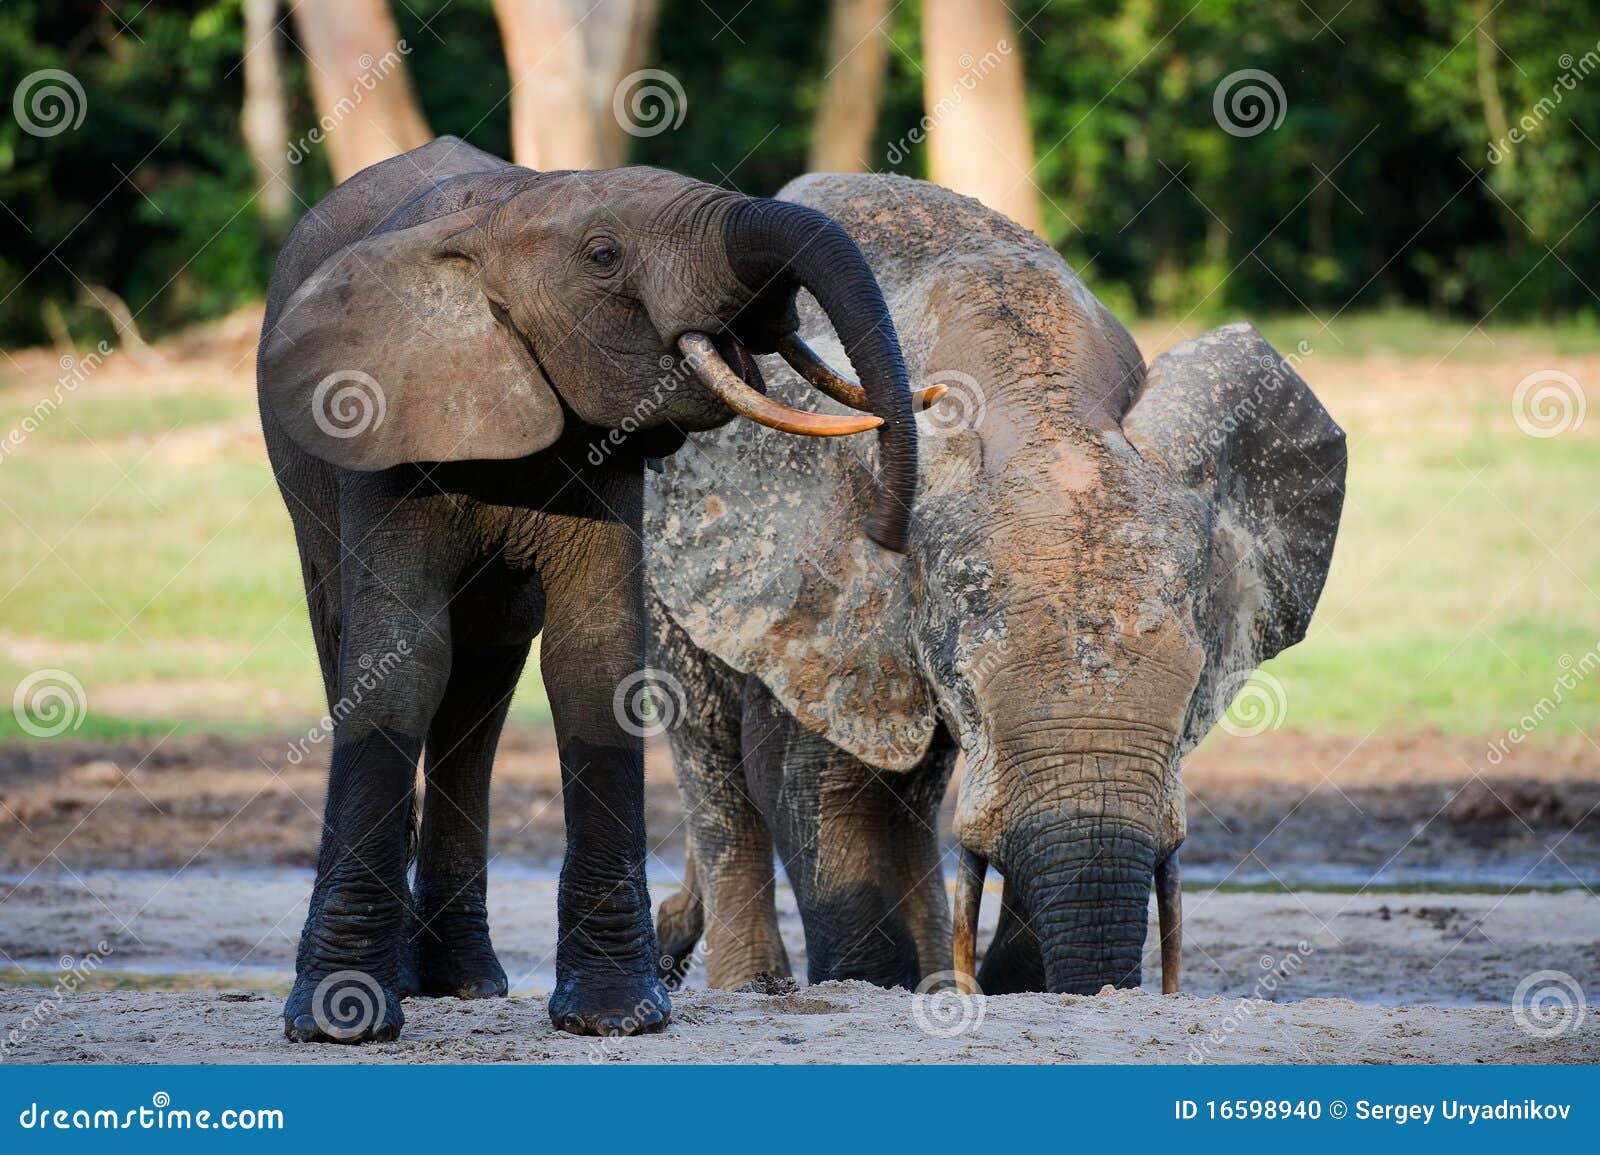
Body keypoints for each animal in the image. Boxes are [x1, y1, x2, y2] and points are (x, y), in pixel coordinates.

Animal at [256, 138, 925, 1041]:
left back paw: (463, 983)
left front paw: (616, 1018)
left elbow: (595, 658)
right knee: (367, 647)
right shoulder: (381, 422)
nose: (887, 534)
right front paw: (341, 1021)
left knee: (482, 682)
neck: (494, 220)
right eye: (604, 257)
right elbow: (398, 663)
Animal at [646, 173, 1346, 996]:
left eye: (1188, 709)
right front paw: (872, 984)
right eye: (968, 690)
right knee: (712, 752)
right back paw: (752, 985)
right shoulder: (819, 593)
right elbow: (811, 783)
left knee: (913, 790)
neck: (1040, 409)